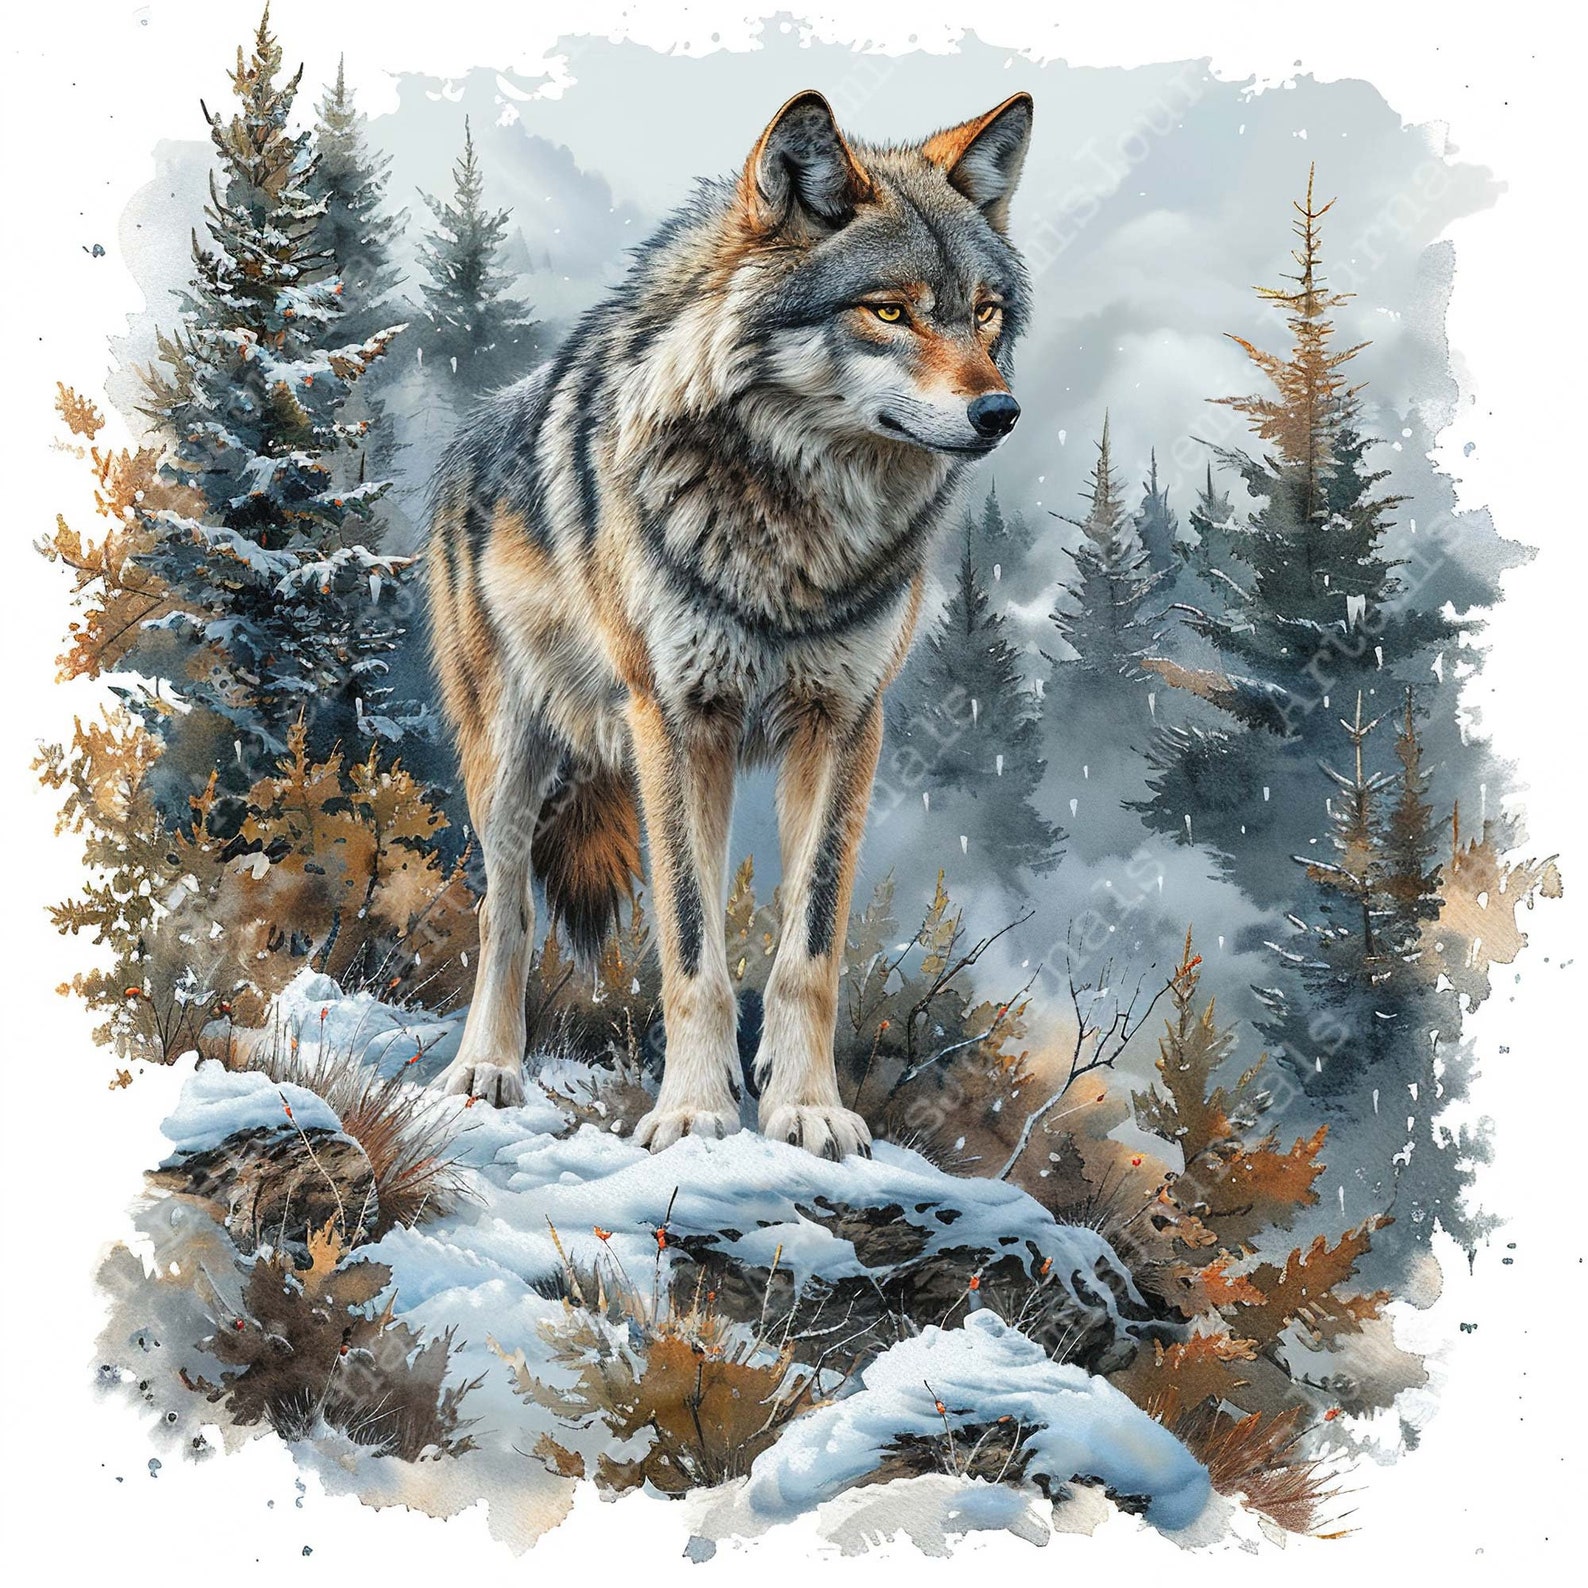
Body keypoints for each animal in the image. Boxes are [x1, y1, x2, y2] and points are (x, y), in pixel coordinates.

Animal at [428, 89, 1033, 1157]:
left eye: (985, 312)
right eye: (888, 311)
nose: (999, 412)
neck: (794, 524)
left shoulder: (846, 722)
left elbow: (808, 949)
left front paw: (807, 1108)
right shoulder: (674, 721)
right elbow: (690, 946)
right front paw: (691, 1113)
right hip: (508, 758)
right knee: (505, 911)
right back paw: (487, 1068)